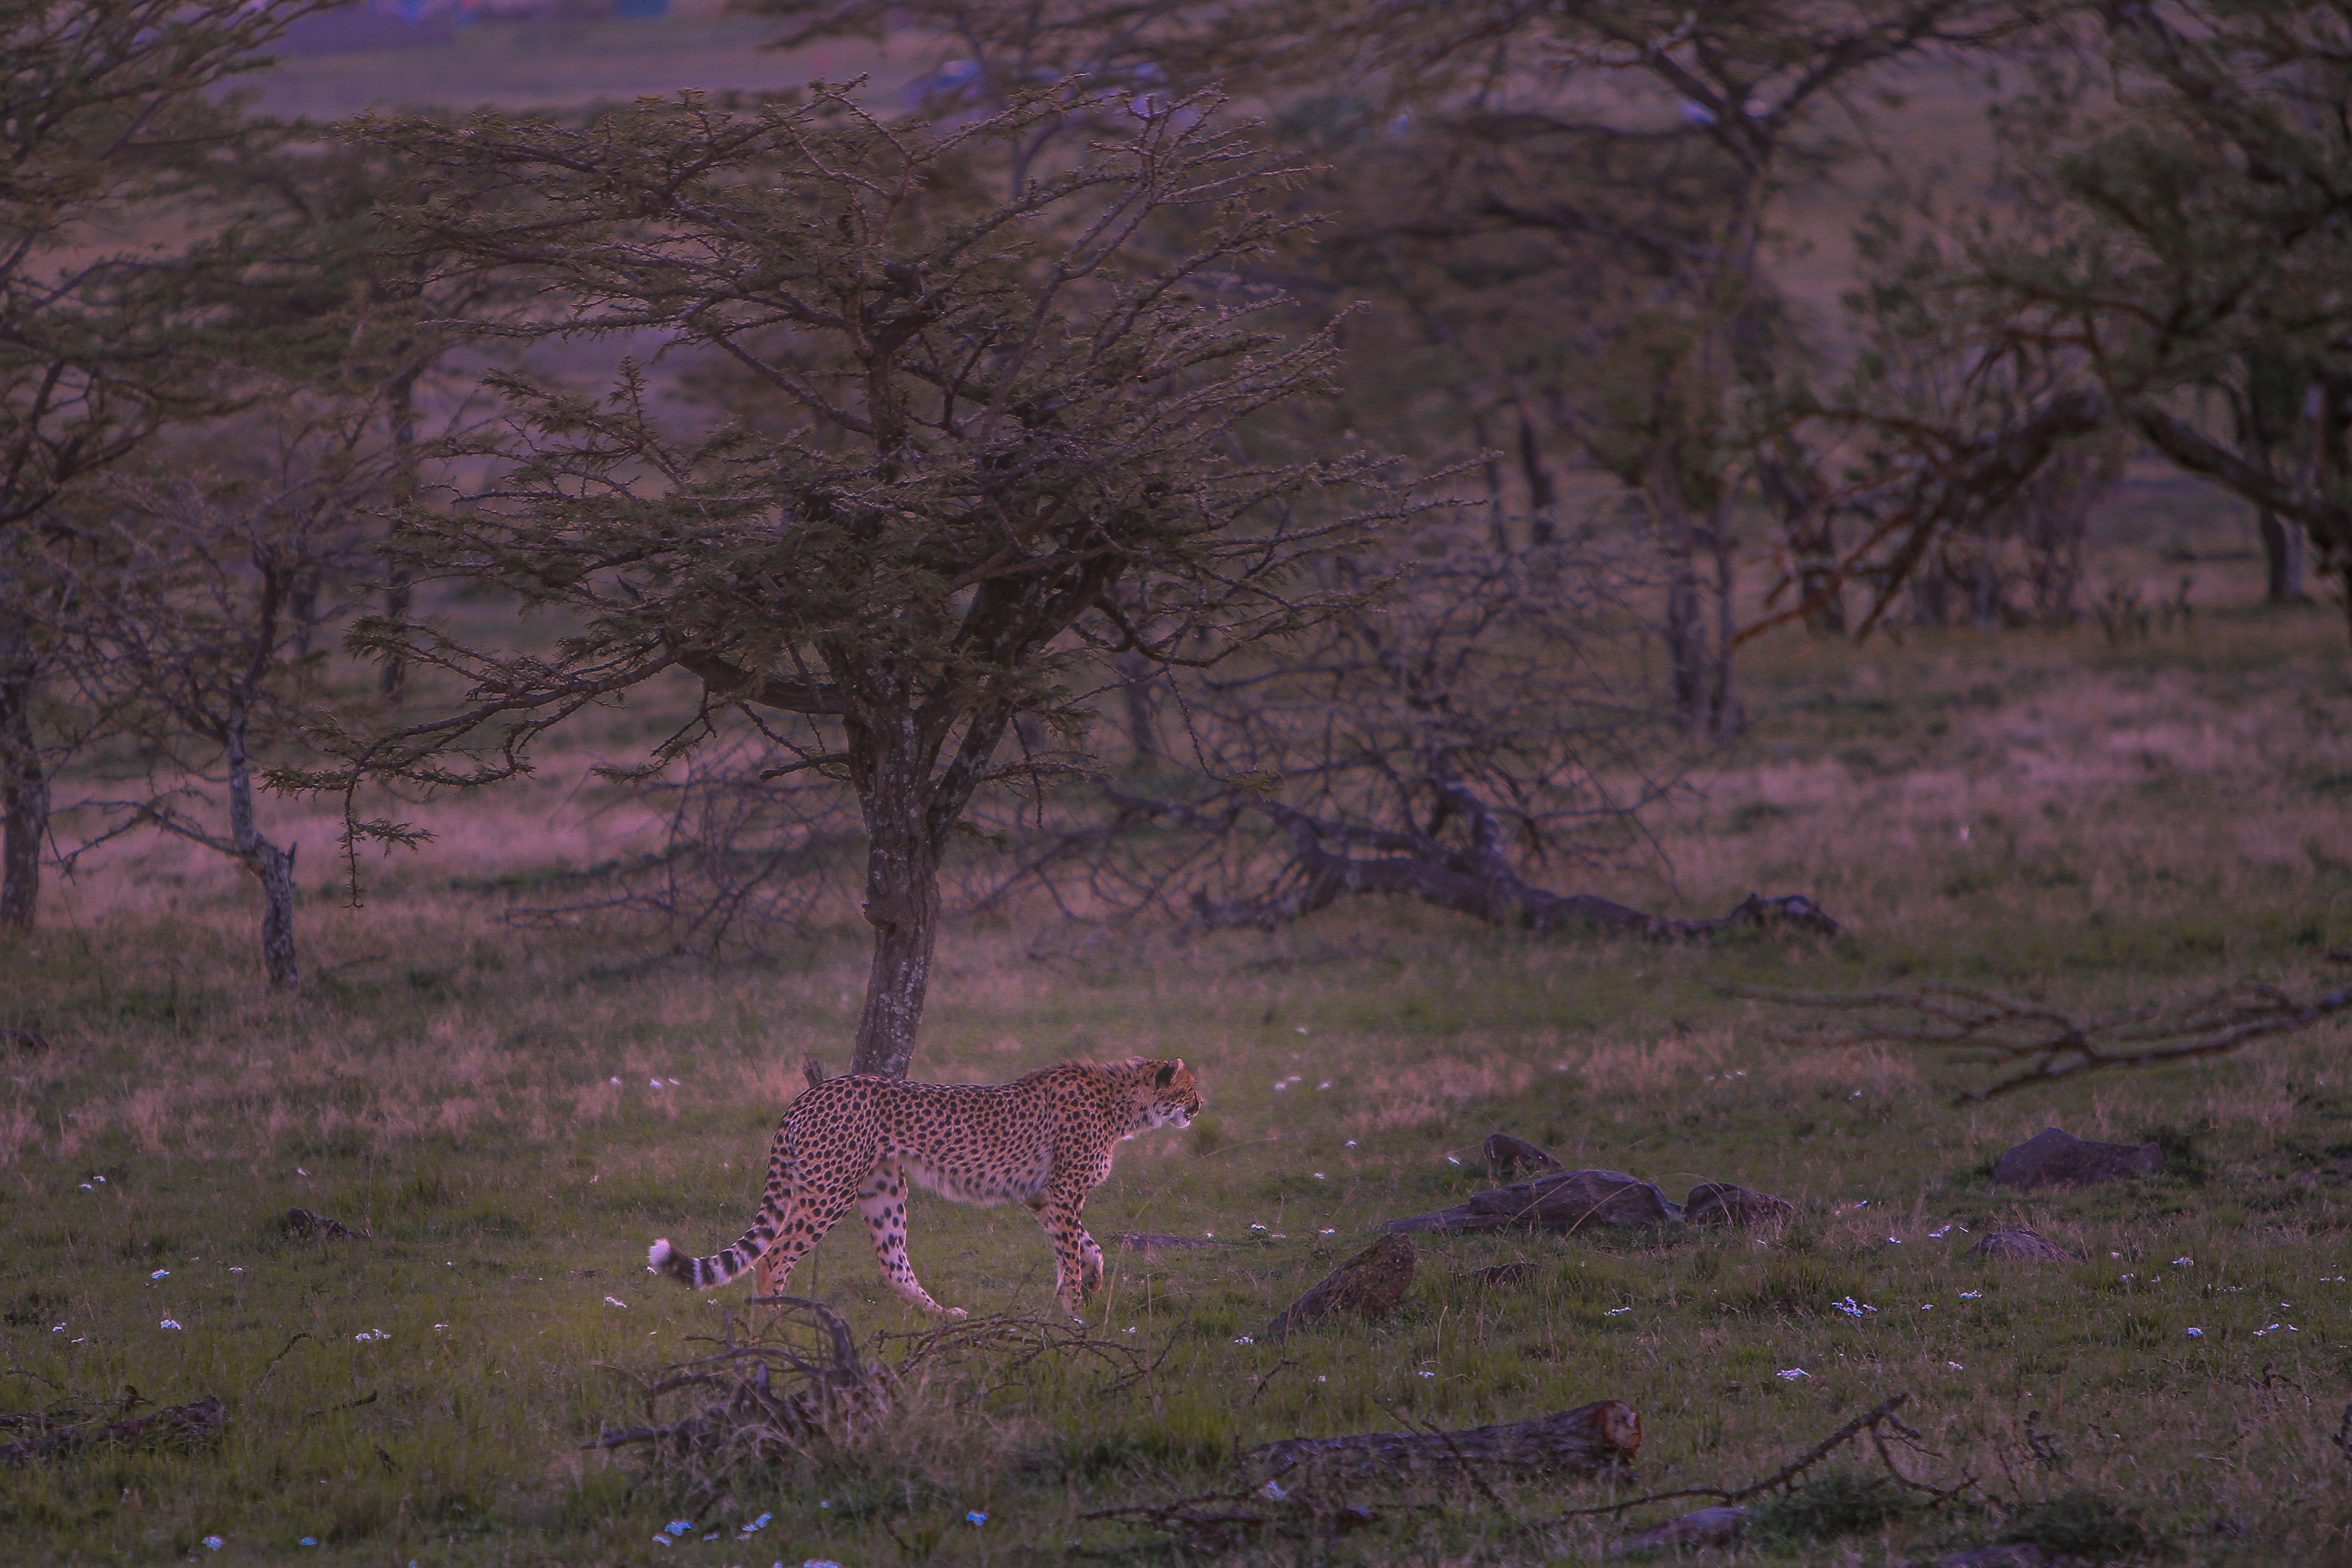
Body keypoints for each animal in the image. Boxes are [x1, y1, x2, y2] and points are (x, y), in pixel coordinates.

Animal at [647, 1057, 1201, 1319]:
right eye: (1189, 1088)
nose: (1200, 1107)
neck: (1120, 1101)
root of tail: (812, 1091)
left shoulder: (1042, 1196)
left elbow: (1088, 1246)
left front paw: (1090, 1280)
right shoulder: (1063, 1194)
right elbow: (1069, 1250)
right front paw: (1075, 1315)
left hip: (883, 1188)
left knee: (893, 1266)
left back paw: (943, 1316)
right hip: (830, 1190)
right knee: (774, 1255)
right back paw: (773, 1325)